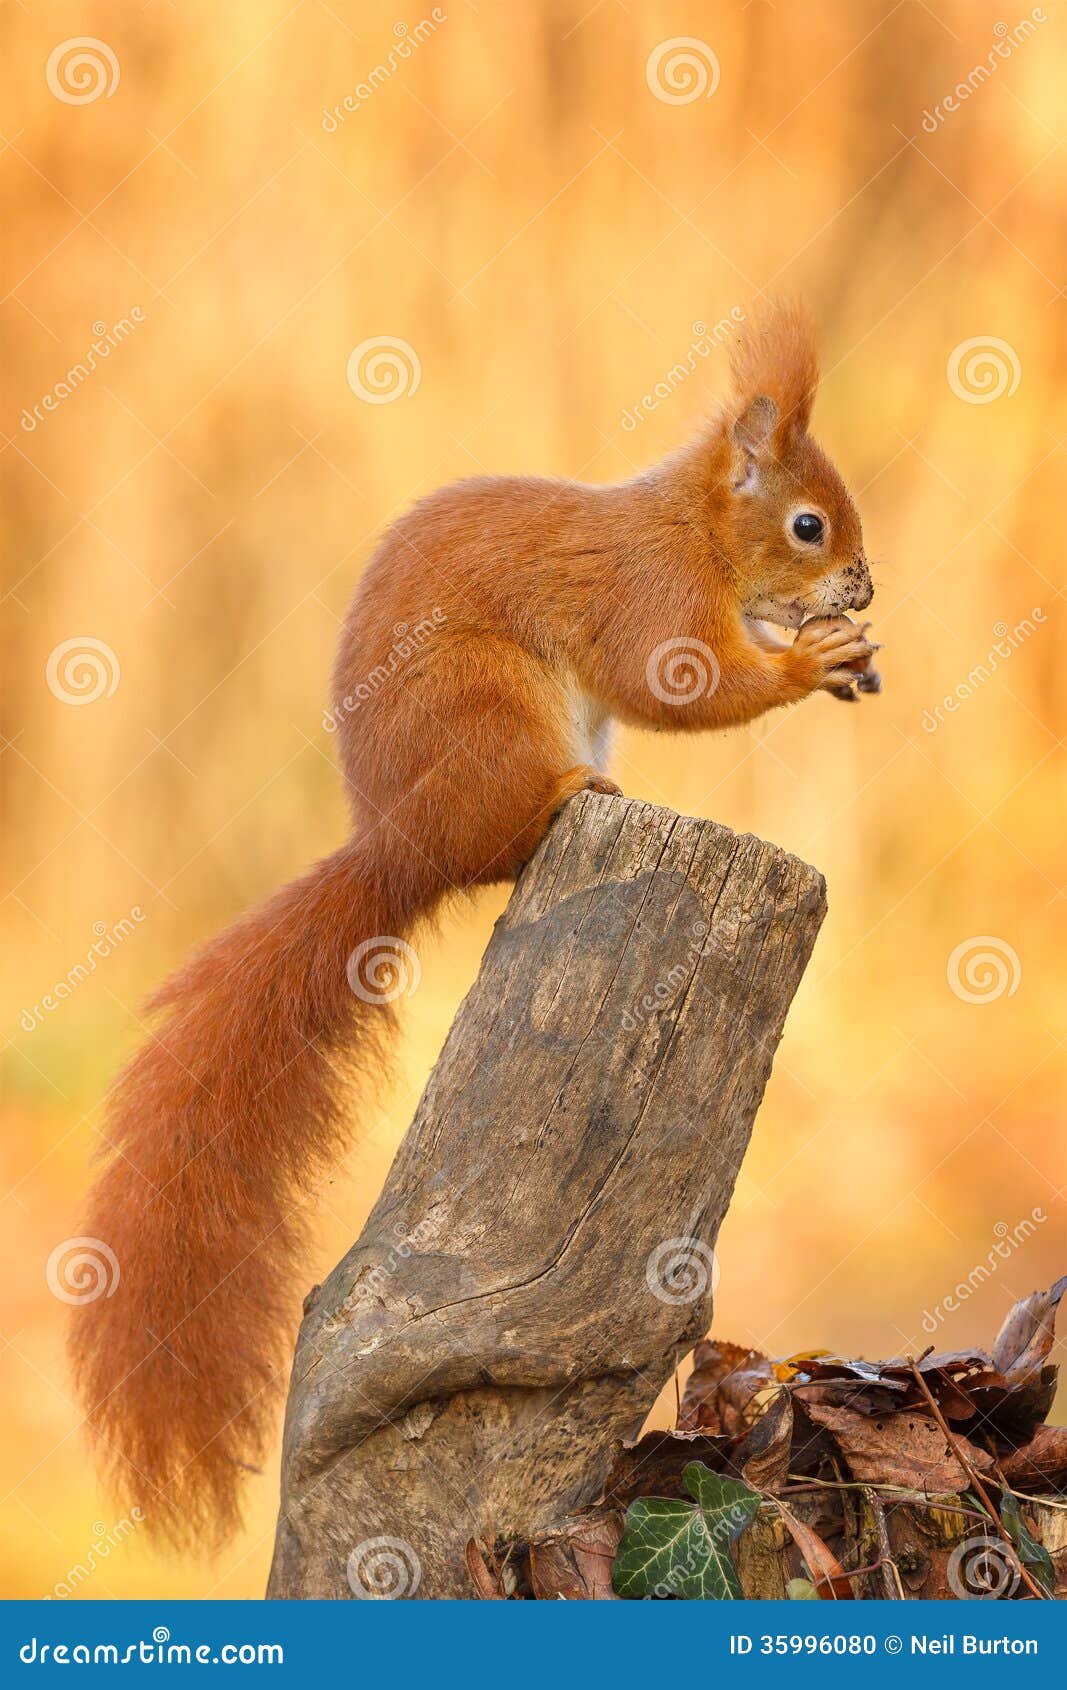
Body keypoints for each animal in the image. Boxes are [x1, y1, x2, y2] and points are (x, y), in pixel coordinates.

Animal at [71, 303, 878, 1545]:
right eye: (805, 523)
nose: (862, 589)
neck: (690, 527)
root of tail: (405, 843)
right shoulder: (651, 597)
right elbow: (681, 680)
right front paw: (804, 660)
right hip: (492, 716)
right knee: (513, 831)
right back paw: (567, 799)